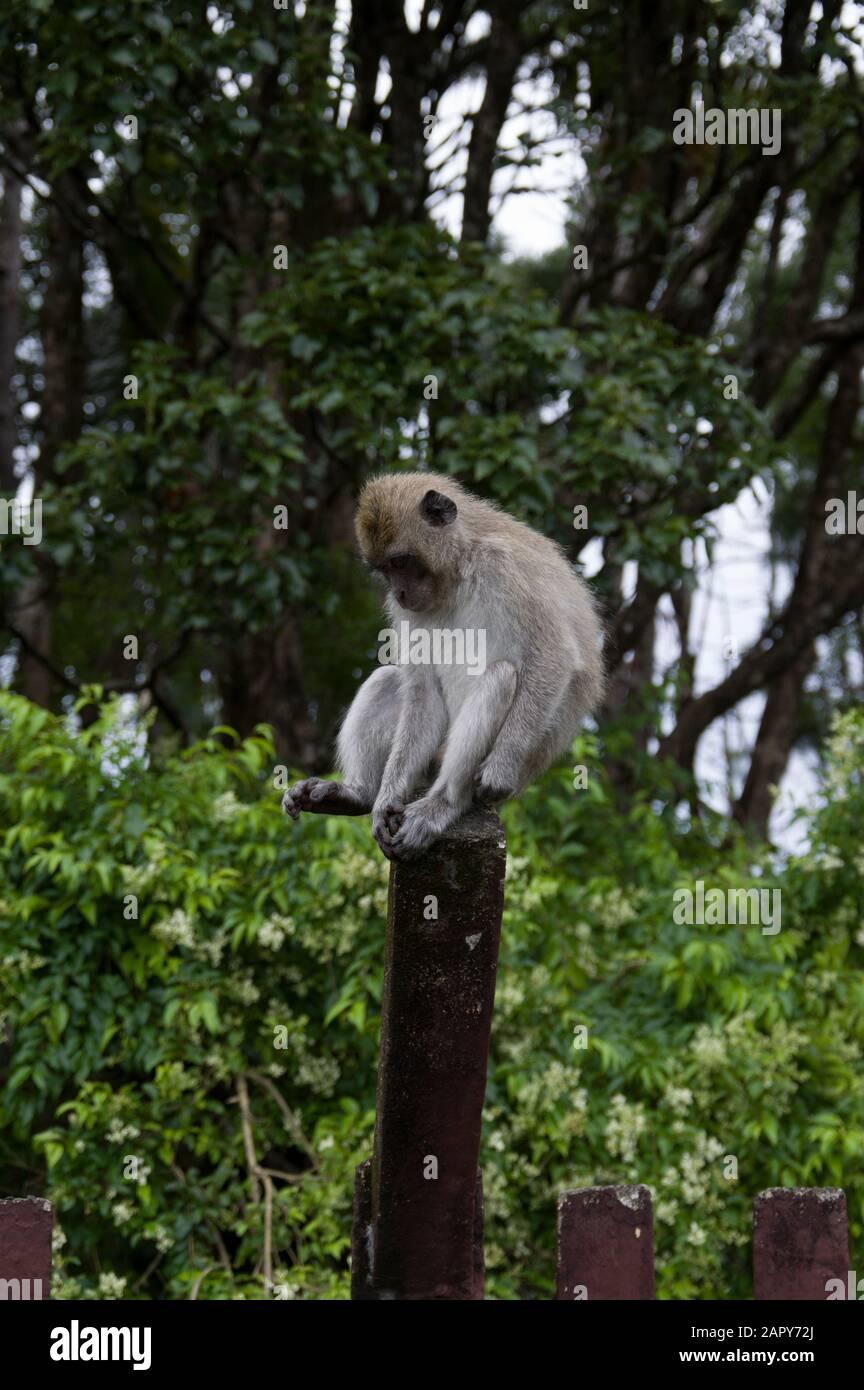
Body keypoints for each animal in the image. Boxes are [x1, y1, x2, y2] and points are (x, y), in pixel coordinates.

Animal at [282, 472, 604, 860]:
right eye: (385, 570)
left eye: (401, 562)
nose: (400, 593)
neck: (458, 567)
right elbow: (423, 691)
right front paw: (384, 798)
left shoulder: (502, 567)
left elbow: (552, 655)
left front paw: (501, 766)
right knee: (388, 679)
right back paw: (359, 794)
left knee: (499, 677)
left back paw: (445, 803)